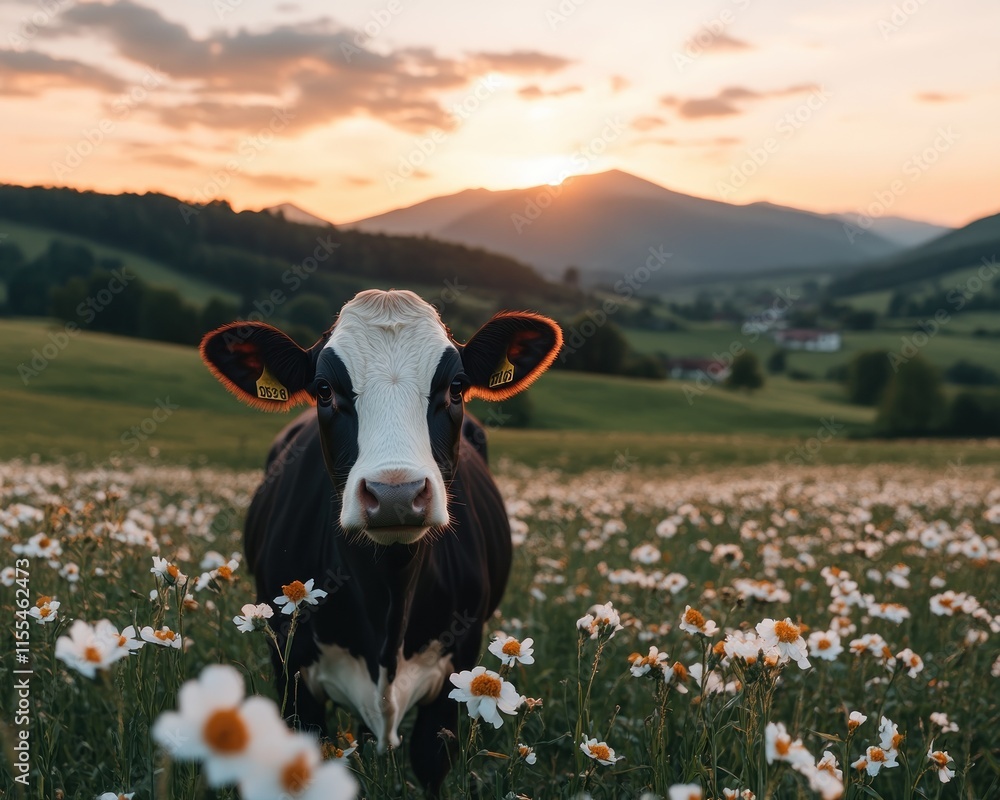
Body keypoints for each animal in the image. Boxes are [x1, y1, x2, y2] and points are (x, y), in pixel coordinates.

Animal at [199, 289, 562, 791]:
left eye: (456, 387)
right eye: (324, 390)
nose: (396, 494)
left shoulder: (460, 661)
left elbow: (431, 758)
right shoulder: (290, 672)